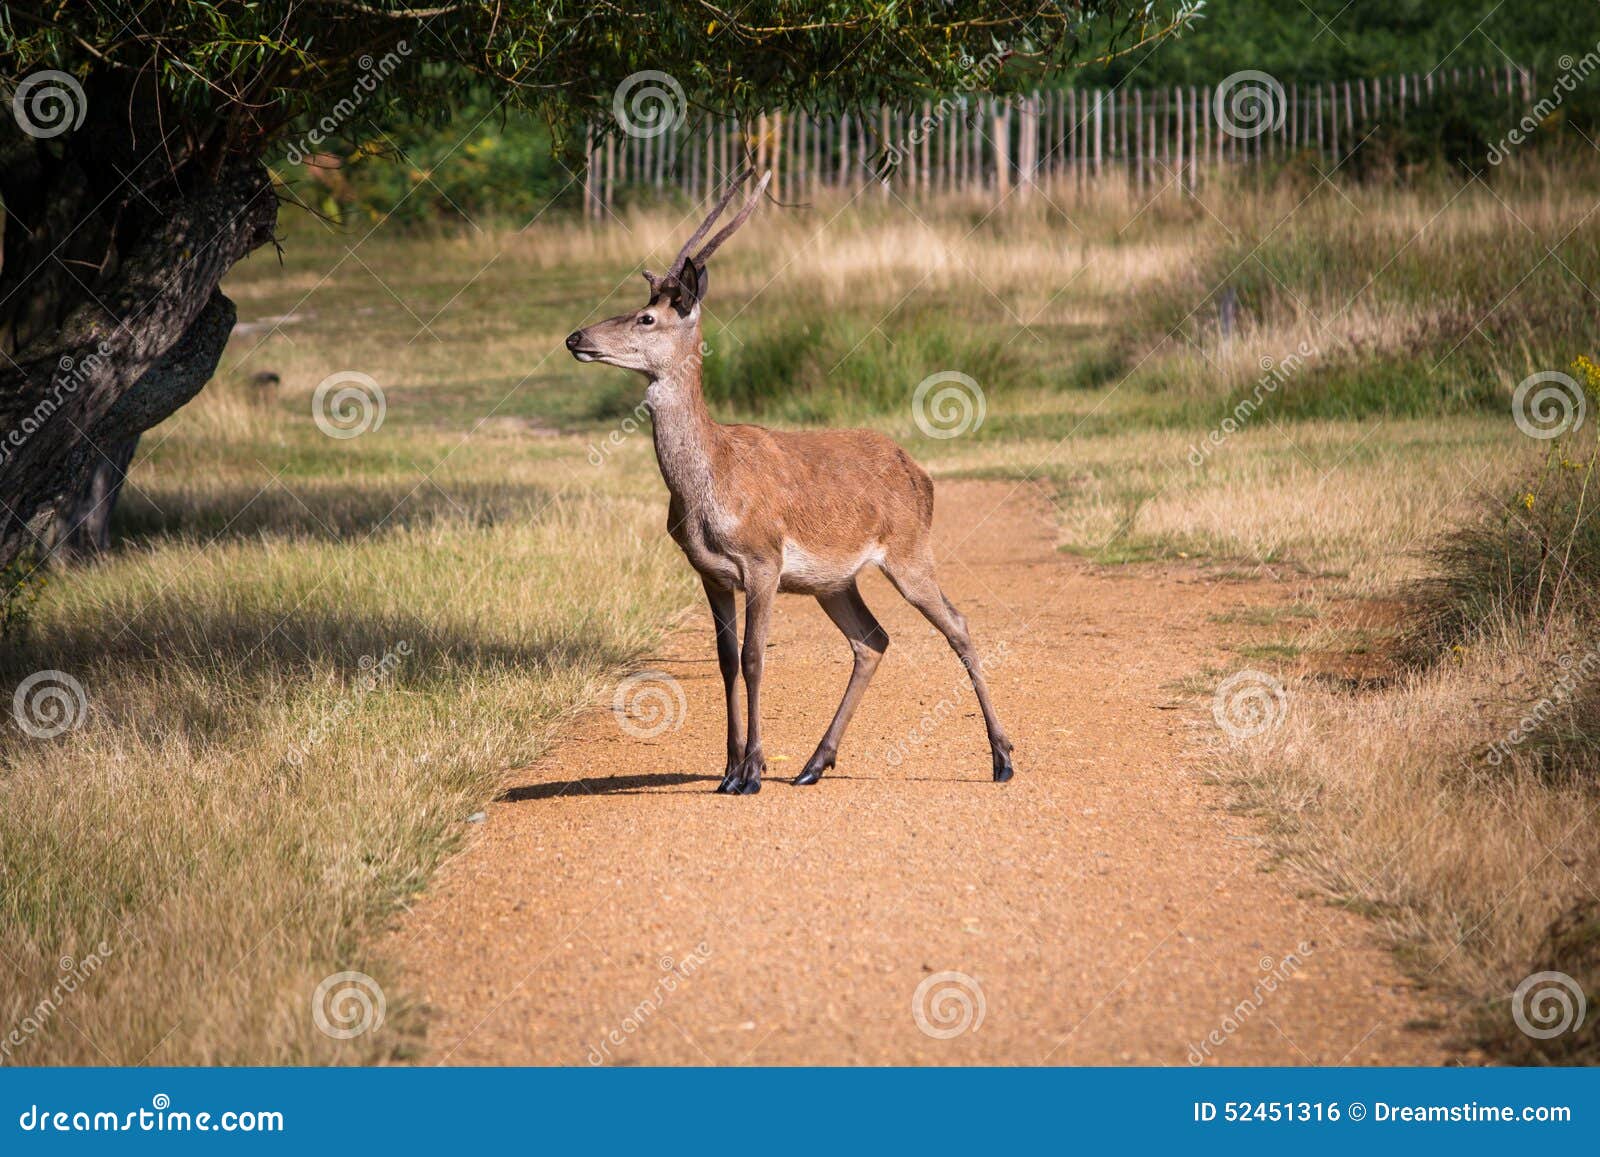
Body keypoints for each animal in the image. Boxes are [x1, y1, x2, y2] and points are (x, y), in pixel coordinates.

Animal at [565, 170, 1014, 795]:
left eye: (645, 318)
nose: (576, 336)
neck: (709, 489)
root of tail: (921, 474)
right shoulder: (709, 570)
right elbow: (726, 659)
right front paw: (728, 769)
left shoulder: (763, 561)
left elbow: (755, 657)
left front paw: (751, 772)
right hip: (835, 581)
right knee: (872, 639)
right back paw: (812, 764)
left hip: (909, 552)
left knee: (958, 624)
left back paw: (1002, 758)